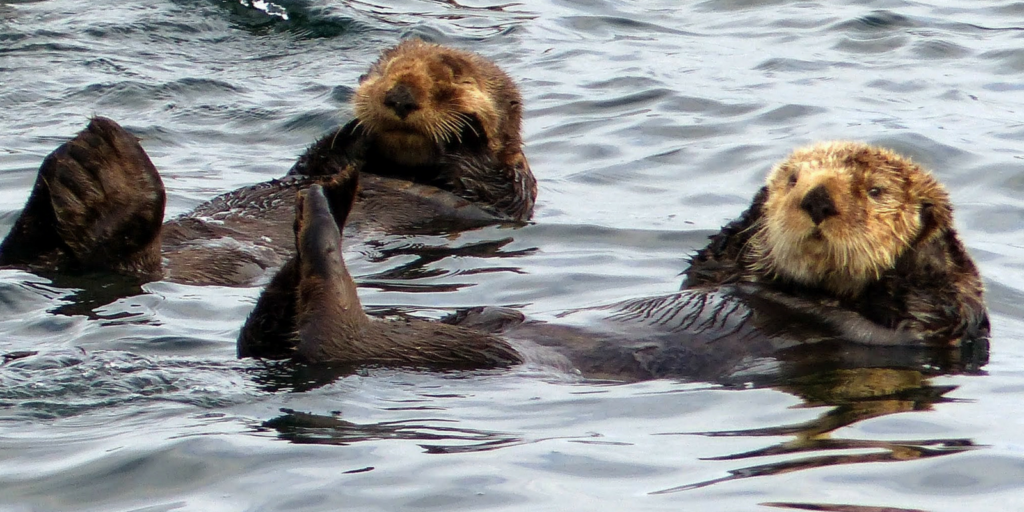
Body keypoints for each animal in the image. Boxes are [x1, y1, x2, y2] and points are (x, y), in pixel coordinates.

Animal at [0, 39, 535, 286]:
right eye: (383, 72)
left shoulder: (506, 193)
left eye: (452, 79)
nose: (399, 95)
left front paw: (464, 133)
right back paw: (80, 171)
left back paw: (104, 184)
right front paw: (354, 132)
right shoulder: (313, 167)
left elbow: (489, 177)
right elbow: (316, 161)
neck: (400, 167)